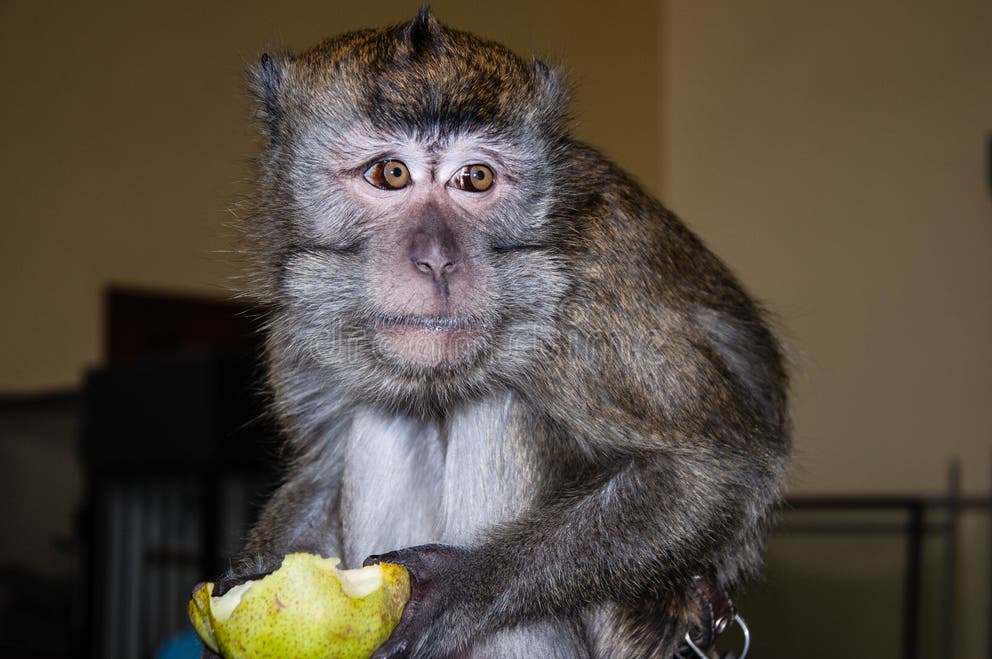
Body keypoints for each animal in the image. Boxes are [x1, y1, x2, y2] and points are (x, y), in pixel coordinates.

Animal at [208, 7, 790, 659]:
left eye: (476, 178)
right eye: (390, 173)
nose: (437, 260)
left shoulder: (594, 295)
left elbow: (713, 472)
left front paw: (460, 588)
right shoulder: (299, 299)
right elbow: (320, 468)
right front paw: (251, 577)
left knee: (496, 408)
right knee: (388, 415)